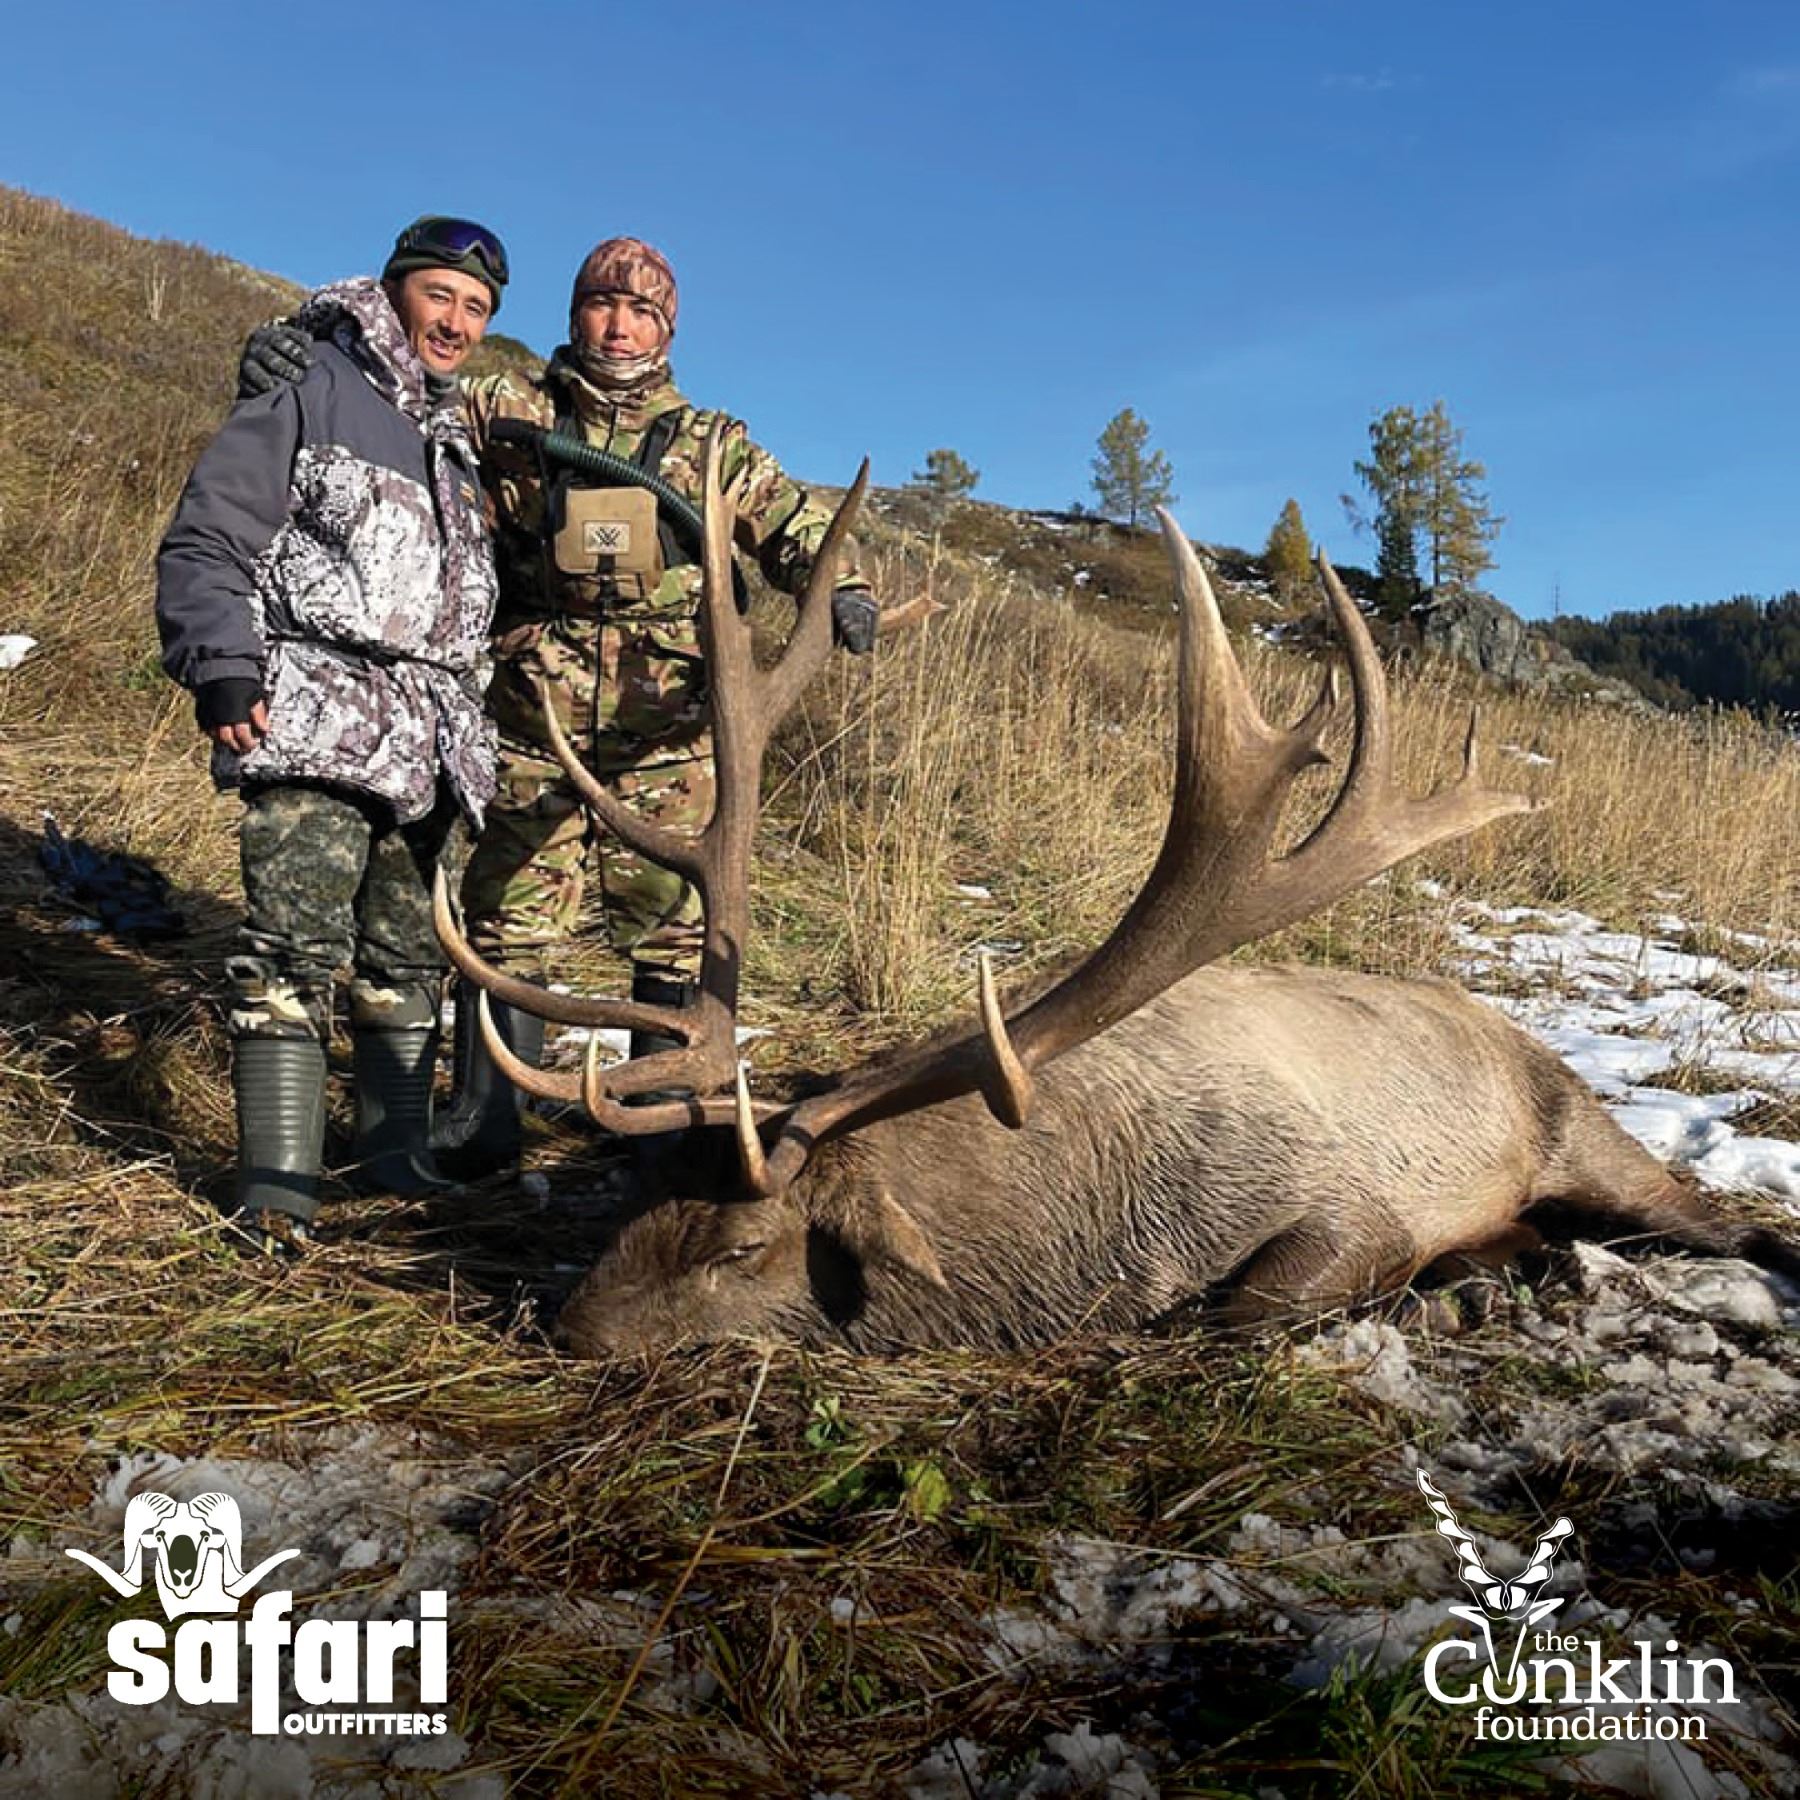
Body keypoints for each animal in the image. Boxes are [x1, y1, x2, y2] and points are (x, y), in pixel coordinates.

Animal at [434, 431, 1800, 1354]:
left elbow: (1252, 1303)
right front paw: (1468, 1275)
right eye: (637, 1207)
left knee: (1702, 1214)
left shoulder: (1334, 1198)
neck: (1075, 1232)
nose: (570, 1331)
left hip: (1579, 1122)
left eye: (742, 1247)